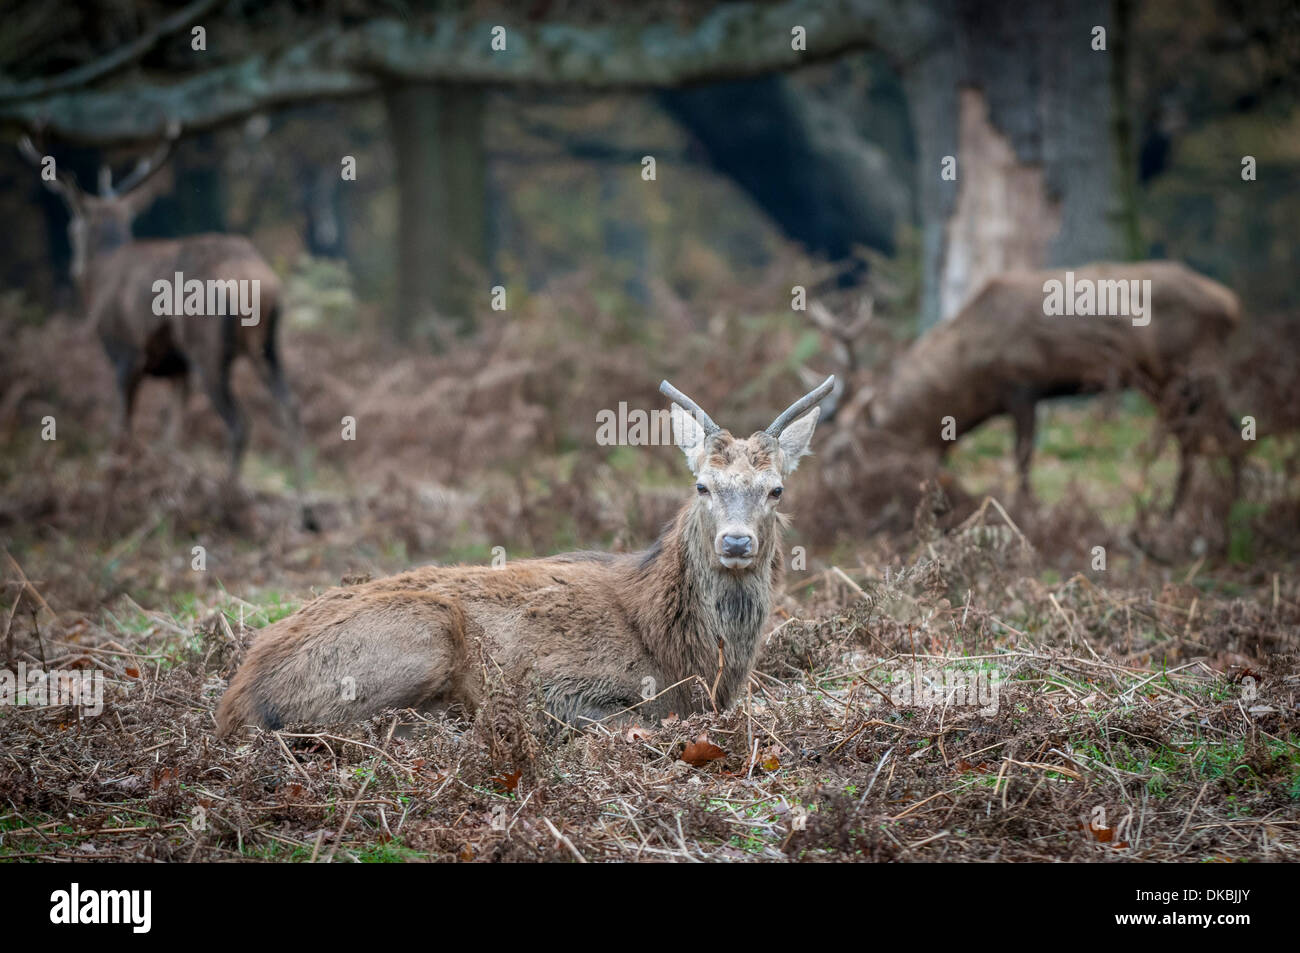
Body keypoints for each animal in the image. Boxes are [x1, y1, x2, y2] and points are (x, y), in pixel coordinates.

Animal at [18, 124, 301, 483]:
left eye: (72, 228)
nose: (74, 269)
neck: (101, 275)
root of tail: (261, 281)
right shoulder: (178, 368)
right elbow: (173, 432)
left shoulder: (124, 349)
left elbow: (122, 424)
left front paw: (116, 472)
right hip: (267, 345)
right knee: (289, 406)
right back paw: (301, 489)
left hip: (206, 346)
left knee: (240, 423)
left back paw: (229, 488)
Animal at [215, 376, 834, 736]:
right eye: (702, 485)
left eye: (775, 490)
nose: (736, 542)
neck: (687, 661)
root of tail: (236, 700)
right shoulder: (556, 685)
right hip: (420, 630)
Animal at [806, 261, 1243, 514]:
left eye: (843, 450)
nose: (831, 499)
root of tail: (1232, 306)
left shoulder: (1023, 384)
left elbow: (1023, 455)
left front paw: (1027, 508)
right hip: (1167, 382)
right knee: (1209, 434)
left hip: (1189, 369)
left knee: (1214, 434)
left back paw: (1197, 511)